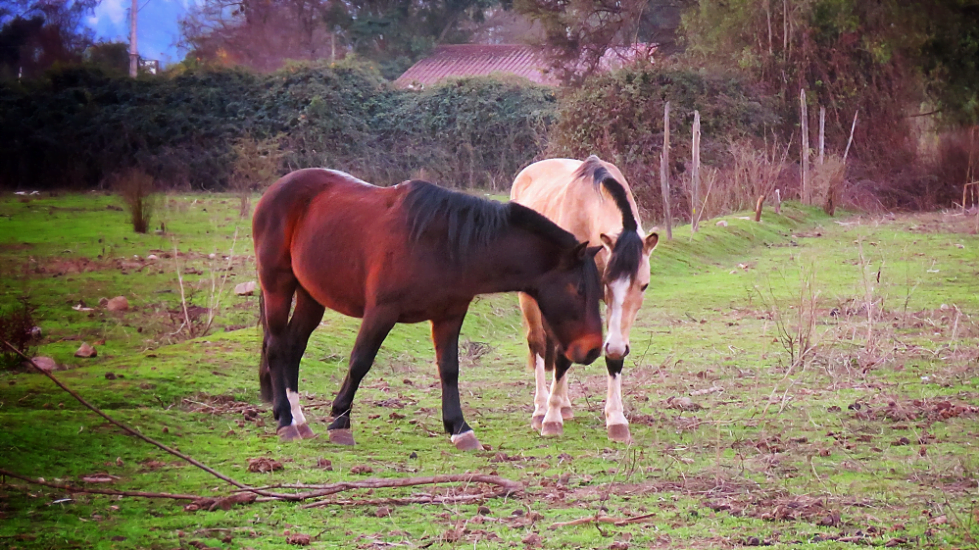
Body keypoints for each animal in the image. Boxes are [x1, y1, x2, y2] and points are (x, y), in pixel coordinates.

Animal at [253, 168, 604, 451]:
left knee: (294, 347)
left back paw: (299, 420)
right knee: (276, 346)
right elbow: (360, 362)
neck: (446, 245)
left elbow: (449, 369)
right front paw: (340, 422)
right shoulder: (381, 312)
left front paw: (460, 429)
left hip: (311, 296)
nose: (592, 349)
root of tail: (275, 189)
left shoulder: (449, 316)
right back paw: (285, 421)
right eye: (579, 288)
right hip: (277, 285)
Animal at [510, 156, 659, 443]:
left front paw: (616, 421)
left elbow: (611, 357)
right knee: (539, 343)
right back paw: (541, 410)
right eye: (607, 282)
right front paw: (551, 420)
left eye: (644, 285)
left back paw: (564, 405)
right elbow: (561, 356)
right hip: (529, 300)